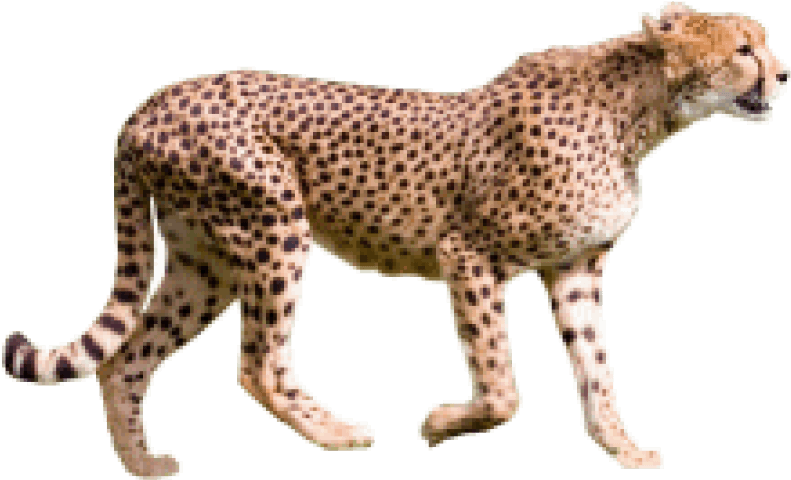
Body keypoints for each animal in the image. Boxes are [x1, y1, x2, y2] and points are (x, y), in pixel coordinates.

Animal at [3, 2, 787, 475]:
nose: (782, 73)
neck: (639, 111)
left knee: (126, 356)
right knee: (258, 364)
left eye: (762, 43)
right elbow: (503, 385)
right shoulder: (469, 254)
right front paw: (443, 425)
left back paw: (143, 465)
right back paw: (338, 432)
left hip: (208, 261)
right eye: (743, 48)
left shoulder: (574, 268)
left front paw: (621, 447)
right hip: (274, 229)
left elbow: (596, 369)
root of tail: (147, 106)